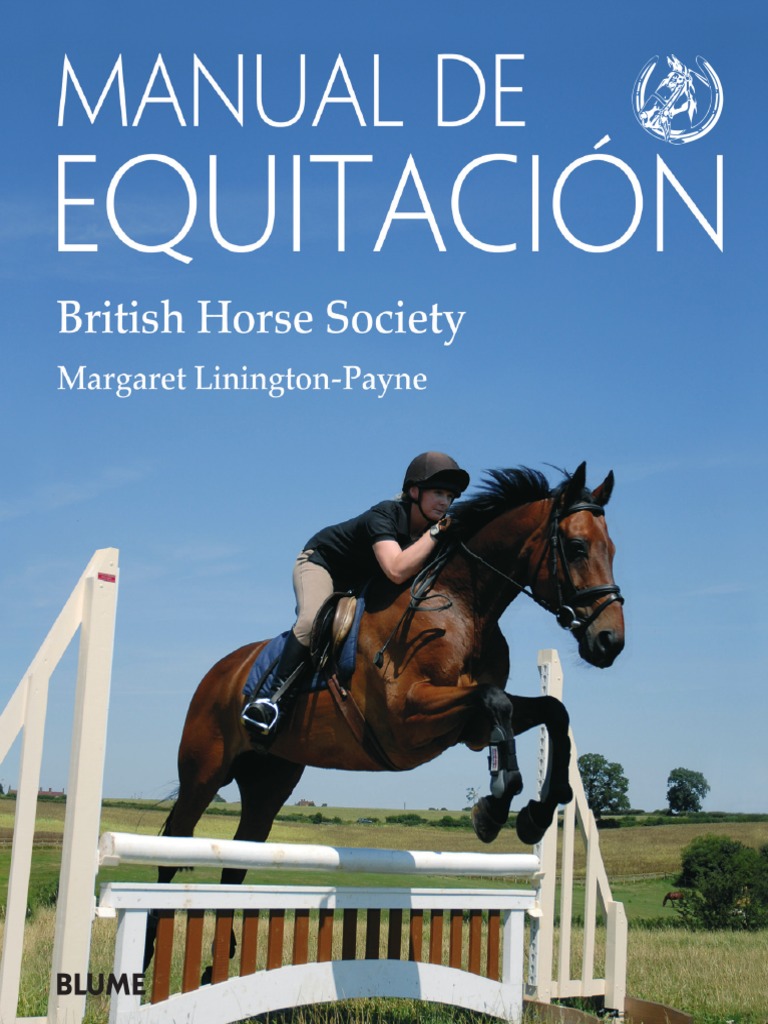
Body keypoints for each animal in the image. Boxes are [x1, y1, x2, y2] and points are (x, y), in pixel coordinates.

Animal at [144, 462, 624, 968]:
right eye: (576, 547)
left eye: (612, 549)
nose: (610, 641)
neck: (464, 605)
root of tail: (221, 671)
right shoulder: (405, 720)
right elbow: (498, 701)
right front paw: (496, 805)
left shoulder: (469, 728)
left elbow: (550, 711)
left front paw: (536, 811)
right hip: (205, 772)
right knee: (173, 846)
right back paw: (150, 948)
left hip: (268, 783)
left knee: (238, 859)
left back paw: (218, 962)